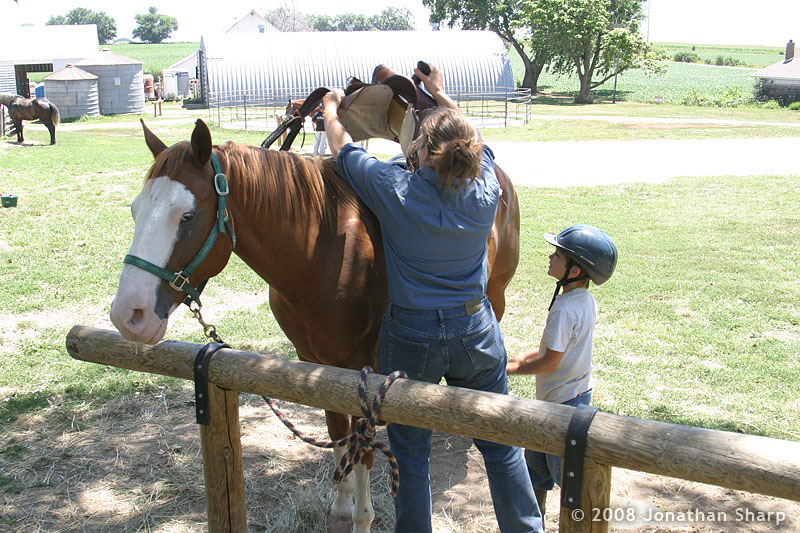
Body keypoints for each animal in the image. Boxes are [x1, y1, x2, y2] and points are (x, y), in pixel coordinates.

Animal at [109, 118, 520, 532]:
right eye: (134, 210)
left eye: (187, 216)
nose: (128, 314)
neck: (322, 254)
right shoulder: (316, 365)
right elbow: (338, 434)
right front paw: (341, 503)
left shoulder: (364, 371)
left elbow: (363, 448)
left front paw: (362, 517)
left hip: (496, 299)